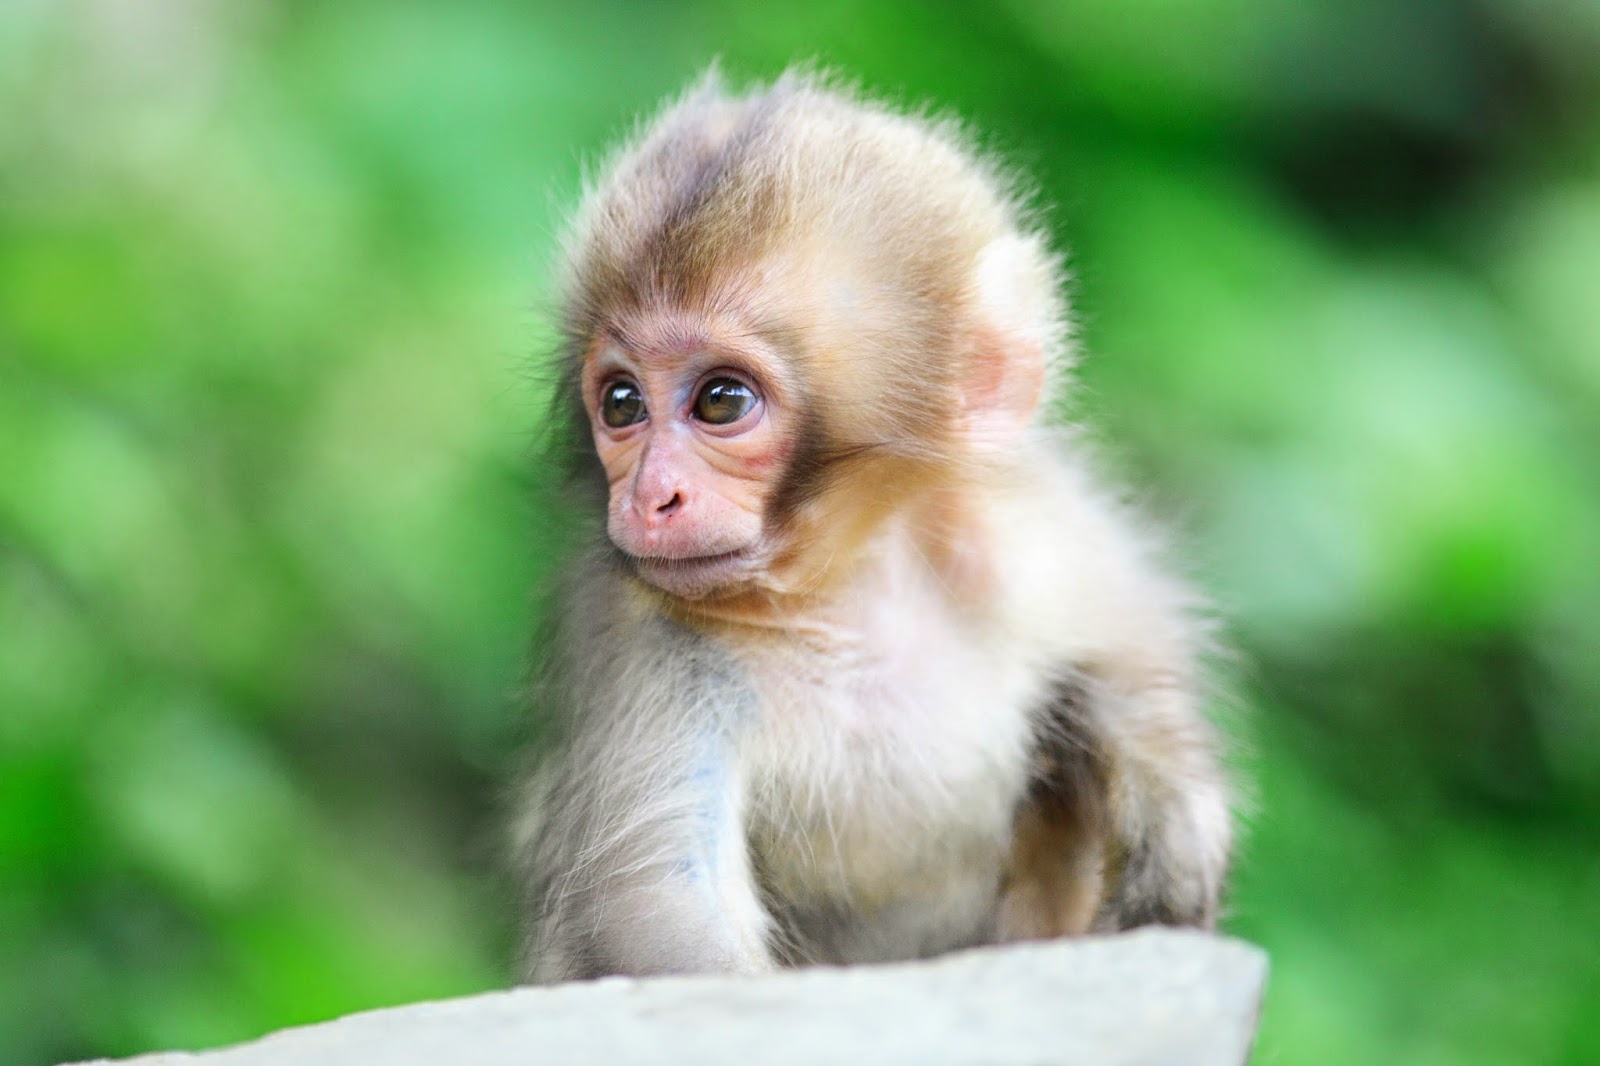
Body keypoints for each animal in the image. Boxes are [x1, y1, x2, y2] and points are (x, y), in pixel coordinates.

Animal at [512, 69, 1233, 983]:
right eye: (620, 404)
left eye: (721, 400)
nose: (649, 497)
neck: (847, 591)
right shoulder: (639, 630)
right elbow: (657, 896)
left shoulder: (1025, 533)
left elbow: (1128, 641)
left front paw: (1179, 812)